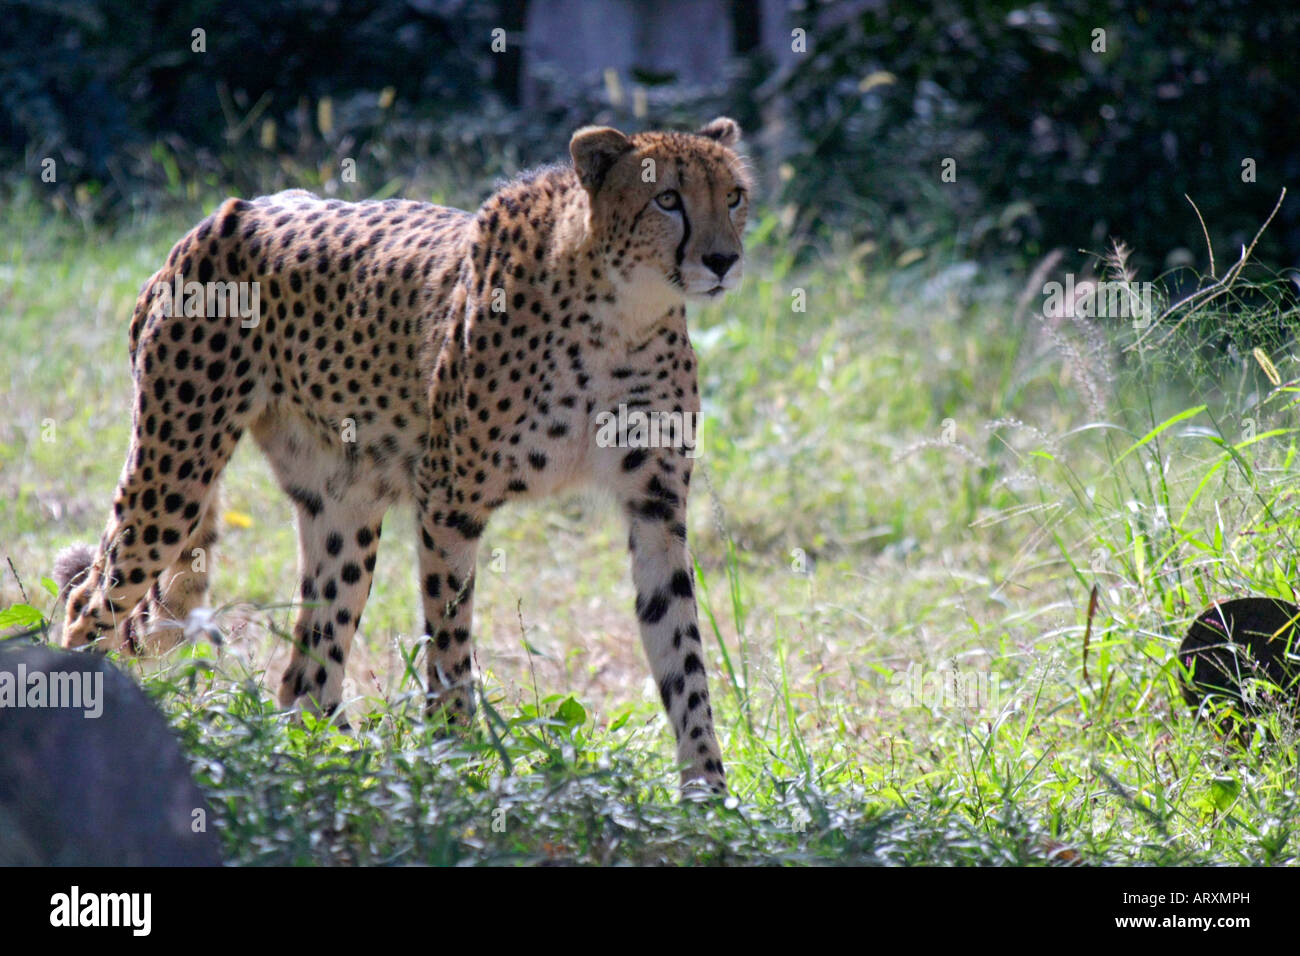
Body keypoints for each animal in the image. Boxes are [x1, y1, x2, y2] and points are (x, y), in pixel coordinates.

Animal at [56, 117, 751, 794]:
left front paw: (708, 794)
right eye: (668, 199)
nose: (724, 260)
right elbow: (450, 645)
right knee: (89, 601)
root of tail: (222, 215)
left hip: (343, 507)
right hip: (176, 472)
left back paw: (329, 763)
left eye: (734, 197)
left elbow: (682, 653)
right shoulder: (450, 501)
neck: (622, 315)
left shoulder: (656, 509)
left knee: (307, 671)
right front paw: (456, 762)